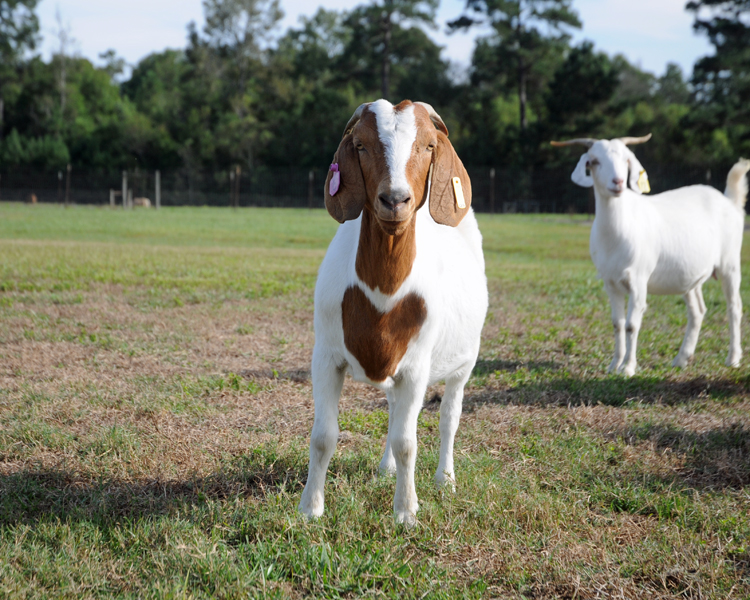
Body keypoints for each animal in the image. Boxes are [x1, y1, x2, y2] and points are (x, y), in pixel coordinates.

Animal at [298, 99, 488, 525]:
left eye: (429, 145)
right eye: (361, 145)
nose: (395, 199)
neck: (384, 294)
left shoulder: (416, 365)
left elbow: (407, 440)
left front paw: (406, 512)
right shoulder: (326, 356)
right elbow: (323, 436)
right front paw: (310, 509)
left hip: (464, 361)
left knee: (449, 417)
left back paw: (445, 479)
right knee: (393, 409)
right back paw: (385, 469)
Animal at [552, 135, 750, 376]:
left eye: (626, 160)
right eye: (594, 161)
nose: (618, 182)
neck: (618, 229)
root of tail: (729, 201)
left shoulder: (638, 280)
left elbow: (631, 325)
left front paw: (628, 368)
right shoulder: (610, 282)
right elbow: (617, 323)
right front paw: (614, 364)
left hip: (729, 263)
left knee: (734, 307)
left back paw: (733, 358)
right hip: (690, 277)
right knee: (698, 311)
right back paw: (681, 359)